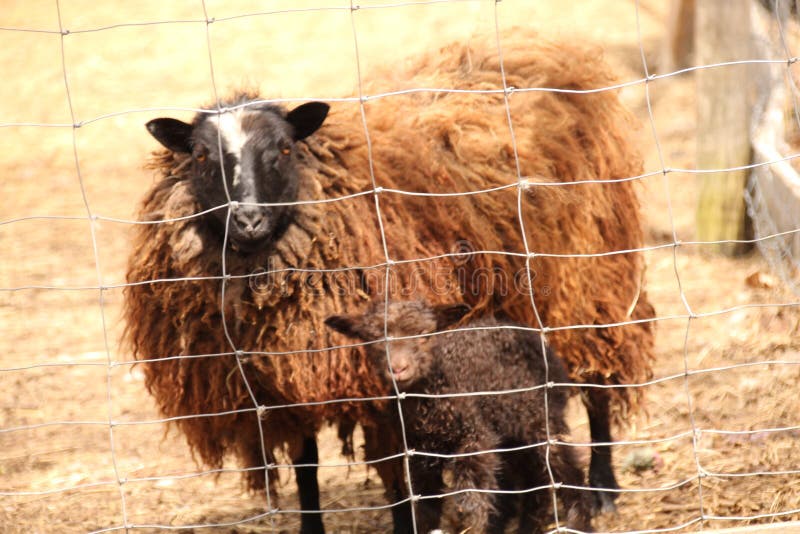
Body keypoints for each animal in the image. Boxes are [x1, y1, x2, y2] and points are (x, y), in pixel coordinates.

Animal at [325, 300, 594, 533]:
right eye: (374, 340)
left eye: (425, 334)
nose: (398, 368)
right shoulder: (419, 452)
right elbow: (426, 504)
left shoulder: (475, 437)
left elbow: (470, 491)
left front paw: (467, 522)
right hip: (509, 431)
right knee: (527, 482)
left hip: (539, 417)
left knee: (562, 466)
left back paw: (577, 522)